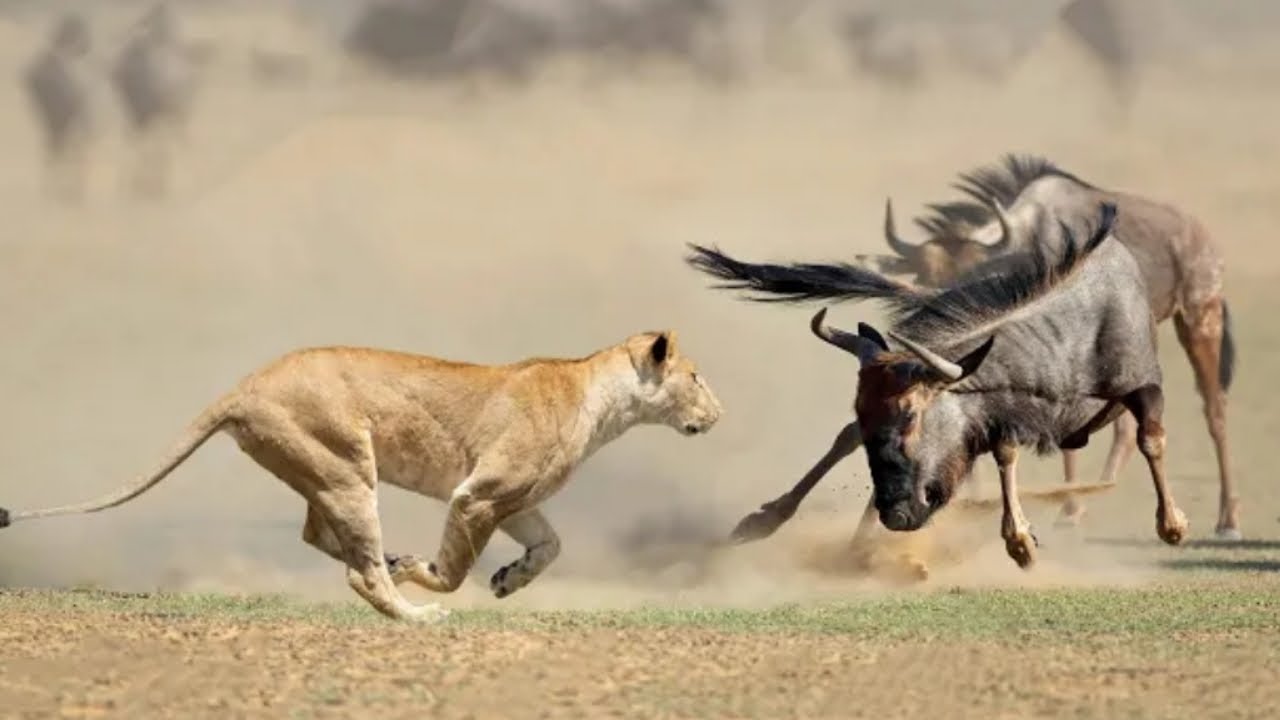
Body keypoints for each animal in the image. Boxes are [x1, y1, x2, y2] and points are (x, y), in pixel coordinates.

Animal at [0, 330, 723, 622]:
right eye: (696, 377)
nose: (718, 413)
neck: (604, 402)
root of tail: (245, 384)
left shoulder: (517, 500)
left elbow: (552, 546)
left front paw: (508, 581)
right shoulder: (480, 494)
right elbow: (453, 566)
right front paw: (432, 576)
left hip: (325, 470)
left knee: (318, 537)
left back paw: (396, 563)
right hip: (347, 466)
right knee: (358, 571)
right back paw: (414, 609)